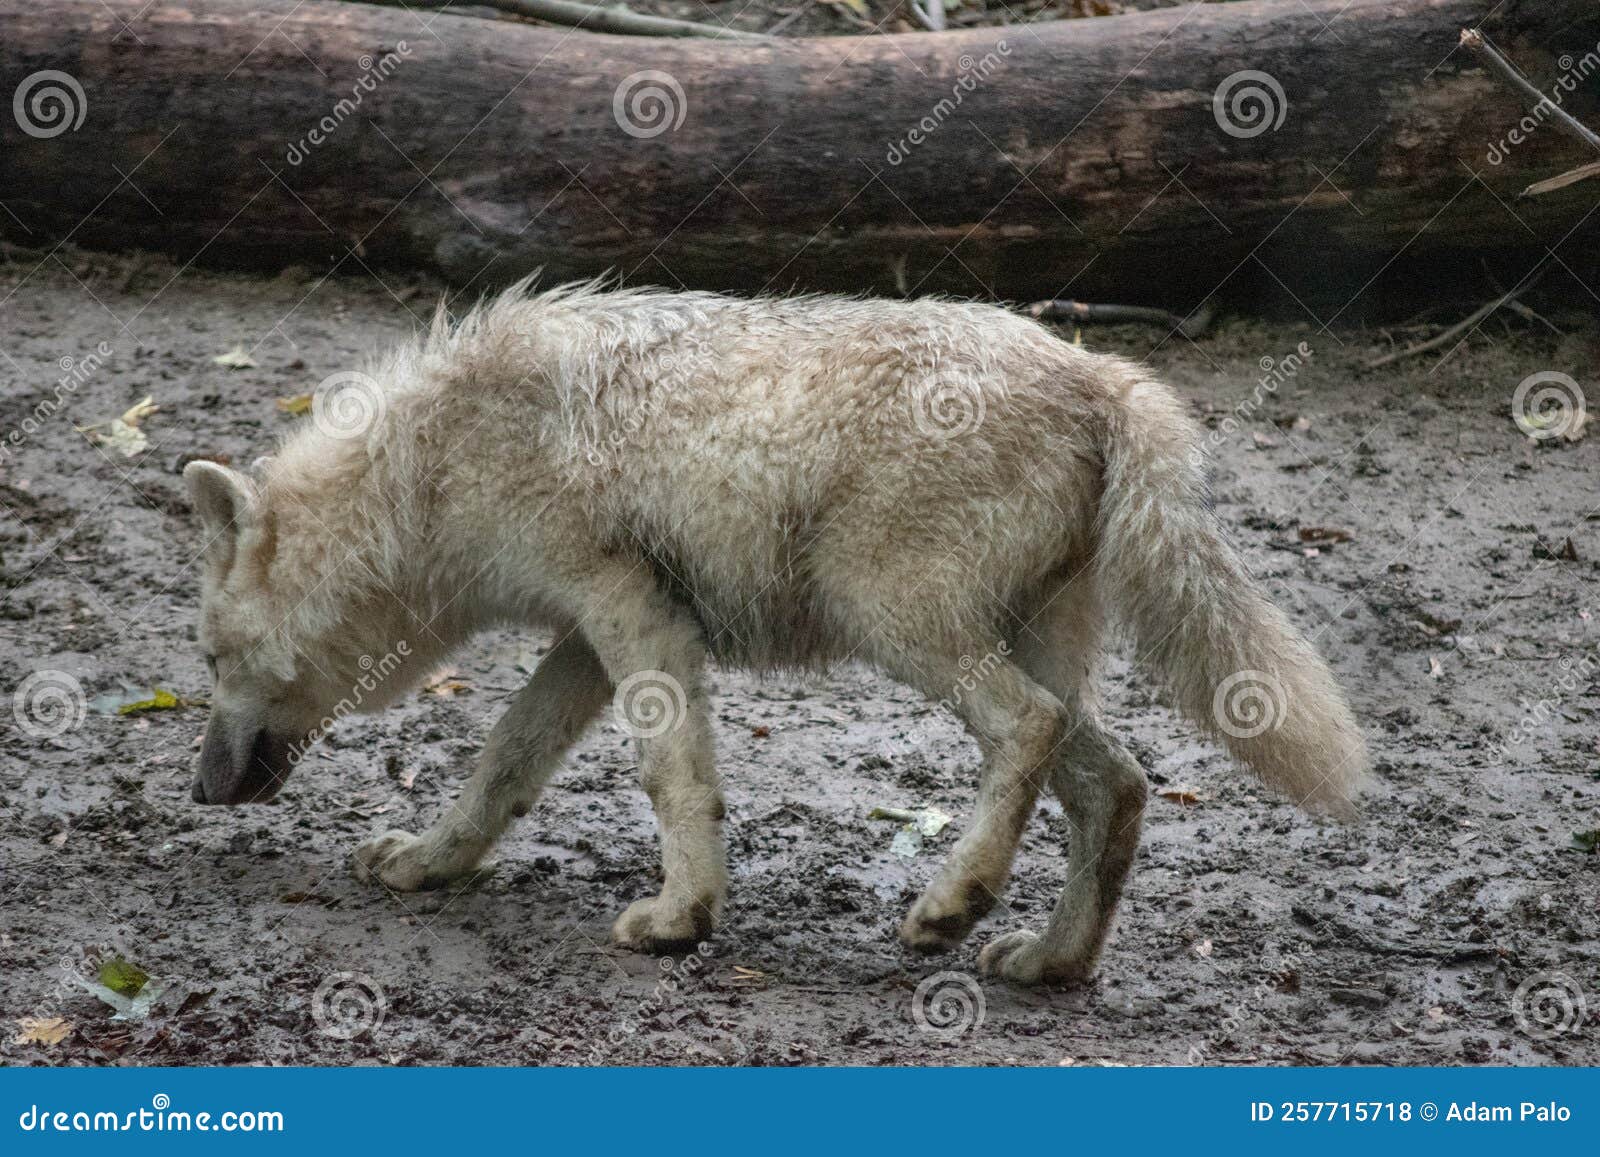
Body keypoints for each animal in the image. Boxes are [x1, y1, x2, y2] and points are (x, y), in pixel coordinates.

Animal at [183, 282, 1365, 984]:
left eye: (209, 657)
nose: (197, 789)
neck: (424, 471)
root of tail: (1101, 373)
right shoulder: (587, 638)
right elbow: (501, 767)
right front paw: (430, 863)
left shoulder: (626, 611)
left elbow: (671, 778)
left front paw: (680, 917)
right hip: (1015, 650)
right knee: (1115, 782)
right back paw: (1049, 960)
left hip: (903, 627)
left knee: (1028, 733)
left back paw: (948, 906)